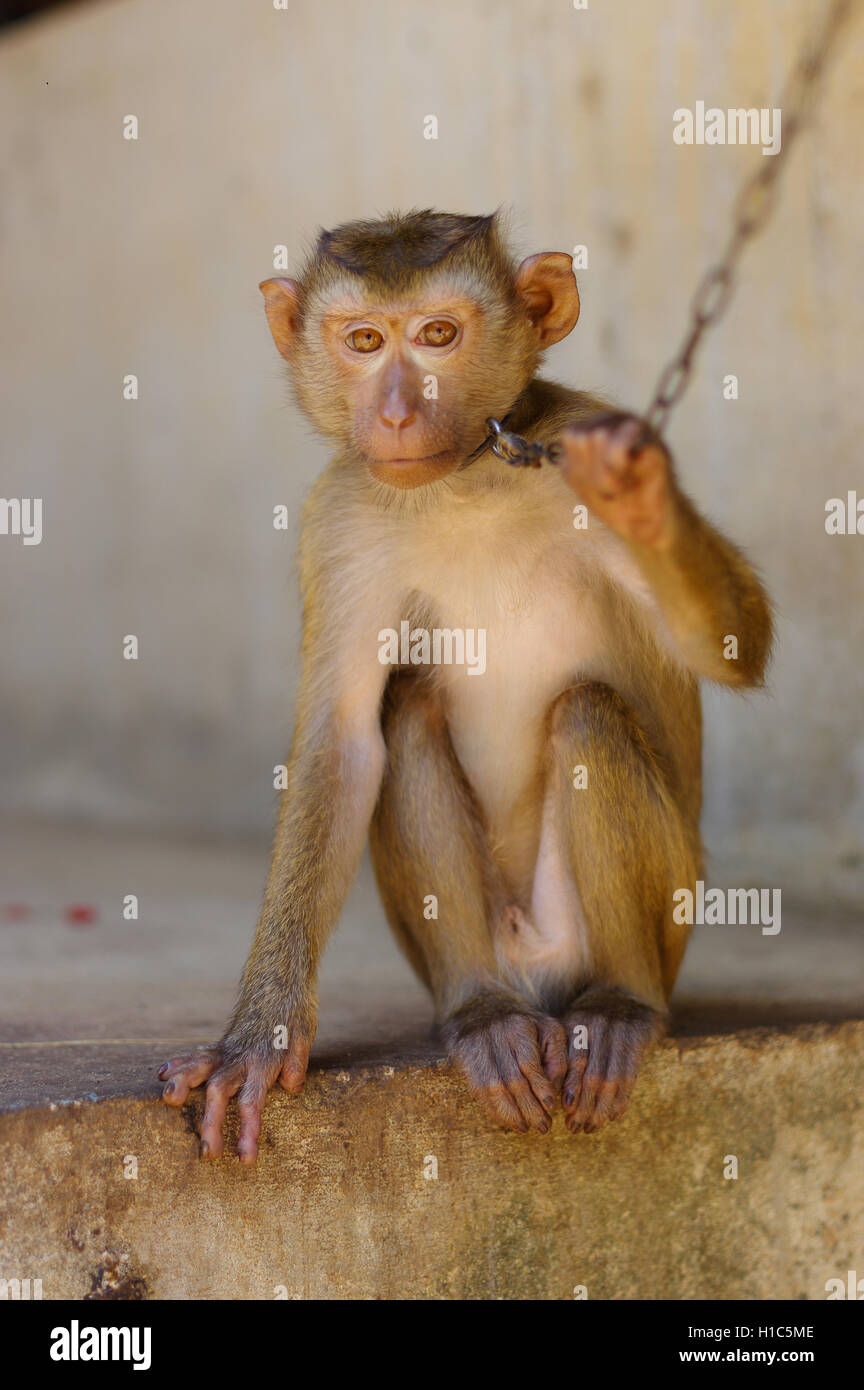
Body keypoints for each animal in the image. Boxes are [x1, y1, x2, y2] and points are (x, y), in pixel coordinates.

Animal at [158, 209, 772, 1161]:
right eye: (365, 341)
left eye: (439, 336)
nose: (397, 411)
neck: (465, 481)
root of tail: (540, 982)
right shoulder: (341, 518)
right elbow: (343, 742)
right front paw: (259, 1038)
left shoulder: (565, 444)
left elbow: (738, 644)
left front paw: (643, 498)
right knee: (407, 711)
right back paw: (482, 1014)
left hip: (660, 922)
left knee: (588, 715)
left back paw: (620, 1007)